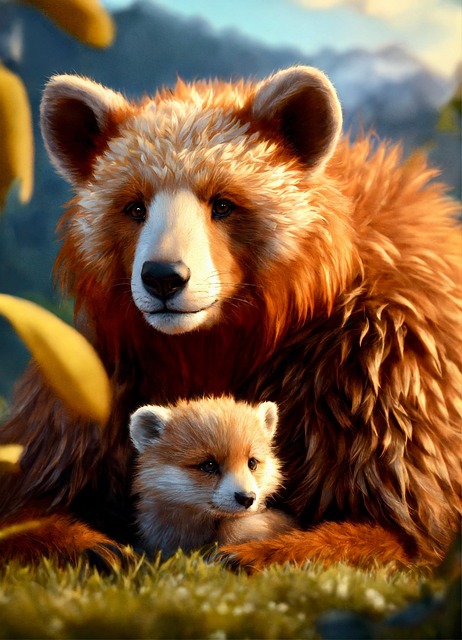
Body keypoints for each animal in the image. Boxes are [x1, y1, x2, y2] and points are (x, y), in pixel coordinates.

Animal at [0, 65, 460, 572]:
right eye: (134, 206)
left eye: (223, 203)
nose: (164, 277)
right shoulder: (97, 374)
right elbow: (32, 495)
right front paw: (90, 543)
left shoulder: (378, 367)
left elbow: (400, 528)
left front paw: (253, 551)